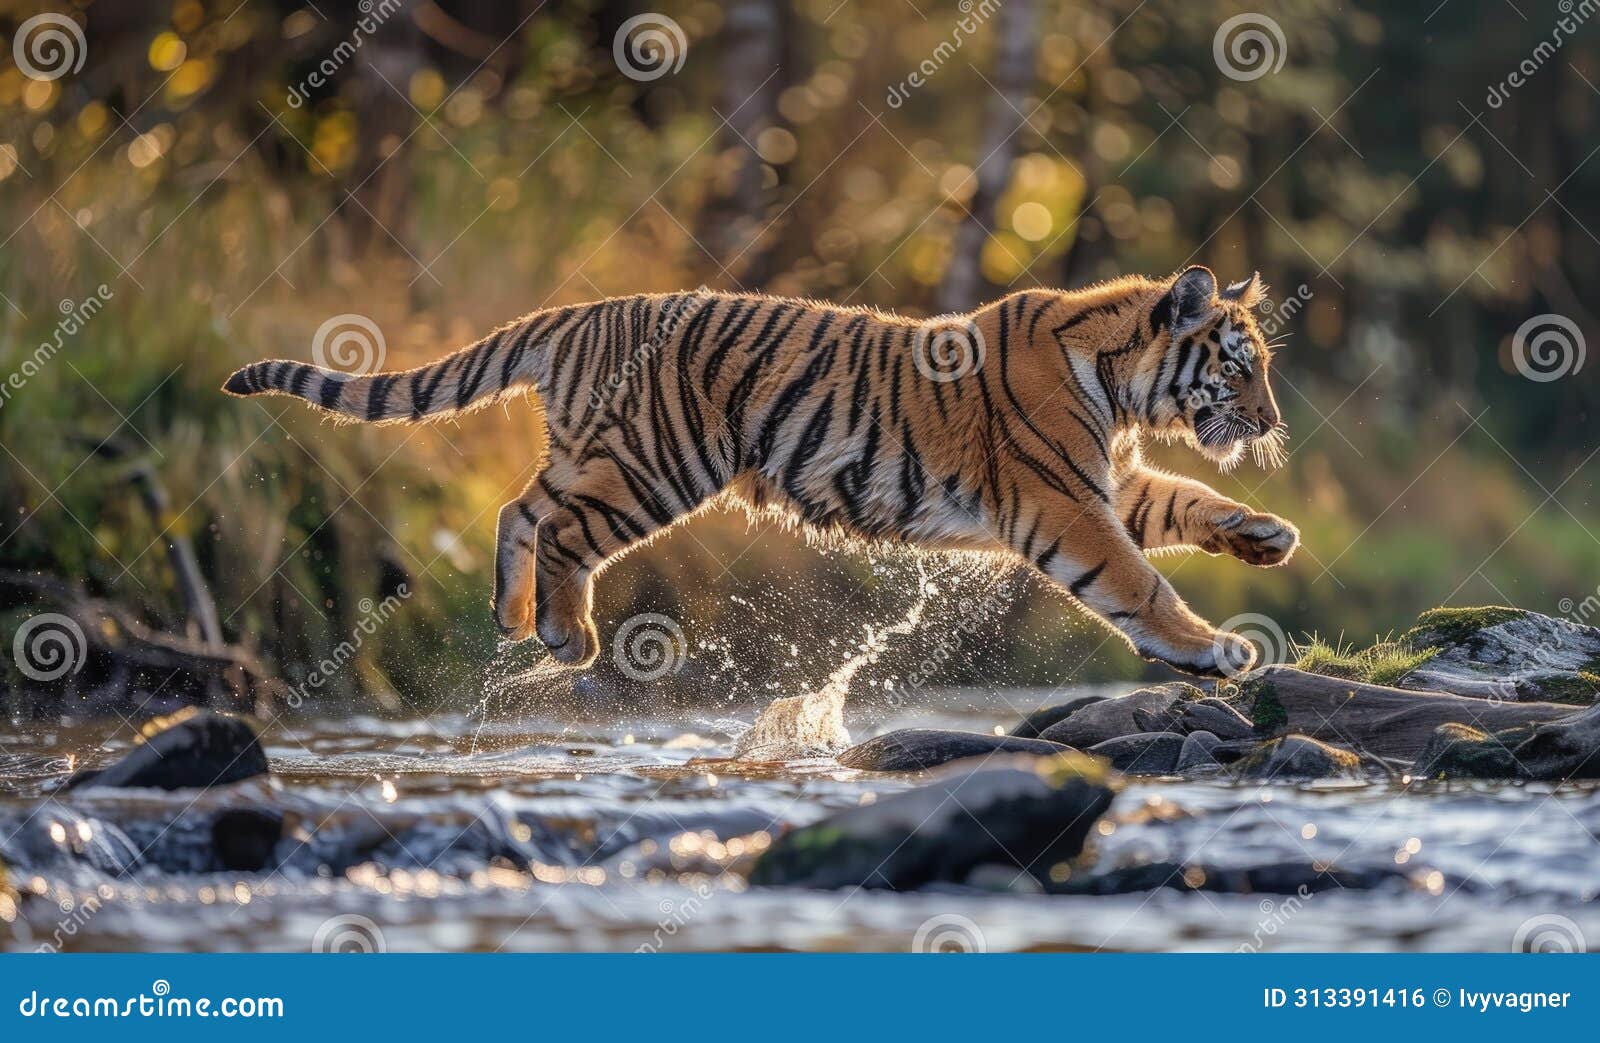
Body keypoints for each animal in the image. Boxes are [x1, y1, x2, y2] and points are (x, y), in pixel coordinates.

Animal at [224, 265, 1297, 677]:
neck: (1122, 389)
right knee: (564, 531)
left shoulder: (1099, 481)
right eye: (1240, 364)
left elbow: (1189, 498)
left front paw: (1266, 532)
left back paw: (512, 616)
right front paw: (1213, 649)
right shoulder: (1063, 500)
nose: (1275, 422)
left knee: (515, 510)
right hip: (656, 464)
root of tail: (577, 311)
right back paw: (567, 636)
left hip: (589, 452)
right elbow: (1138, 582)